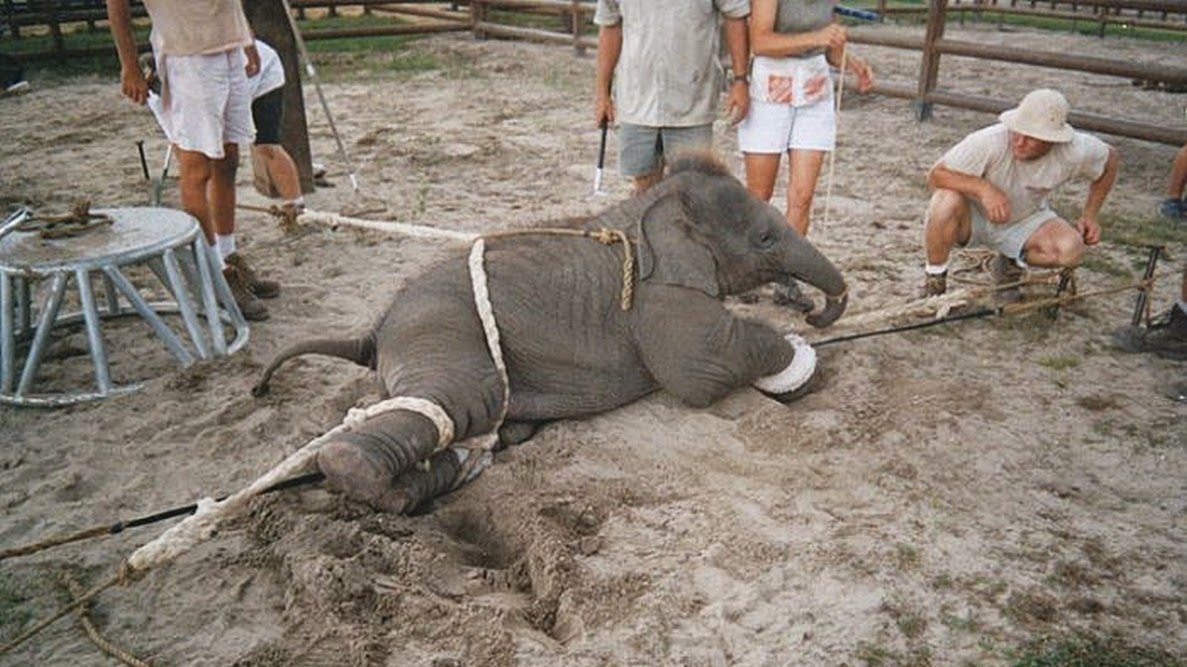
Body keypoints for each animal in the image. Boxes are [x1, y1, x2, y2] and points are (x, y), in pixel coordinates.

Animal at [254, 153, 848, 513]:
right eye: (766, 238)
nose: (816, 312)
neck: (648, 204)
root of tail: (374, 328)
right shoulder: (656, 294)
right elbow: (698, 371)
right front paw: (800, 365)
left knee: (482, 436)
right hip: (442, 331)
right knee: (452, 400)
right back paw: (375, 482)